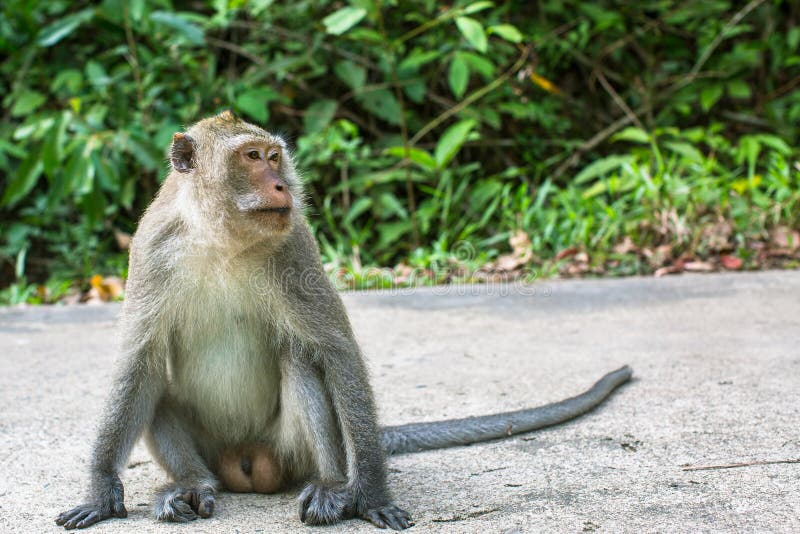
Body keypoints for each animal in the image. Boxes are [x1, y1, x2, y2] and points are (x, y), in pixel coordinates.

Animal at [55, 110, 632, 531]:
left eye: (274, 157)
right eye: (251, 157)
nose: (282, 186)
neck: (220, 239)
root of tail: (244, 463)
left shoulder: (296, 246)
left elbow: (336, 352)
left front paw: (369, 491)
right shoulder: (150, 251)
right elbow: (139, 361)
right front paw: (101, 490)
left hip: (286, 451)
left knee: (301, 363)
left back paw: (333, 487)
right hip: (215, 451)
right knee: (156, 390)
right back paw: (193, 485)